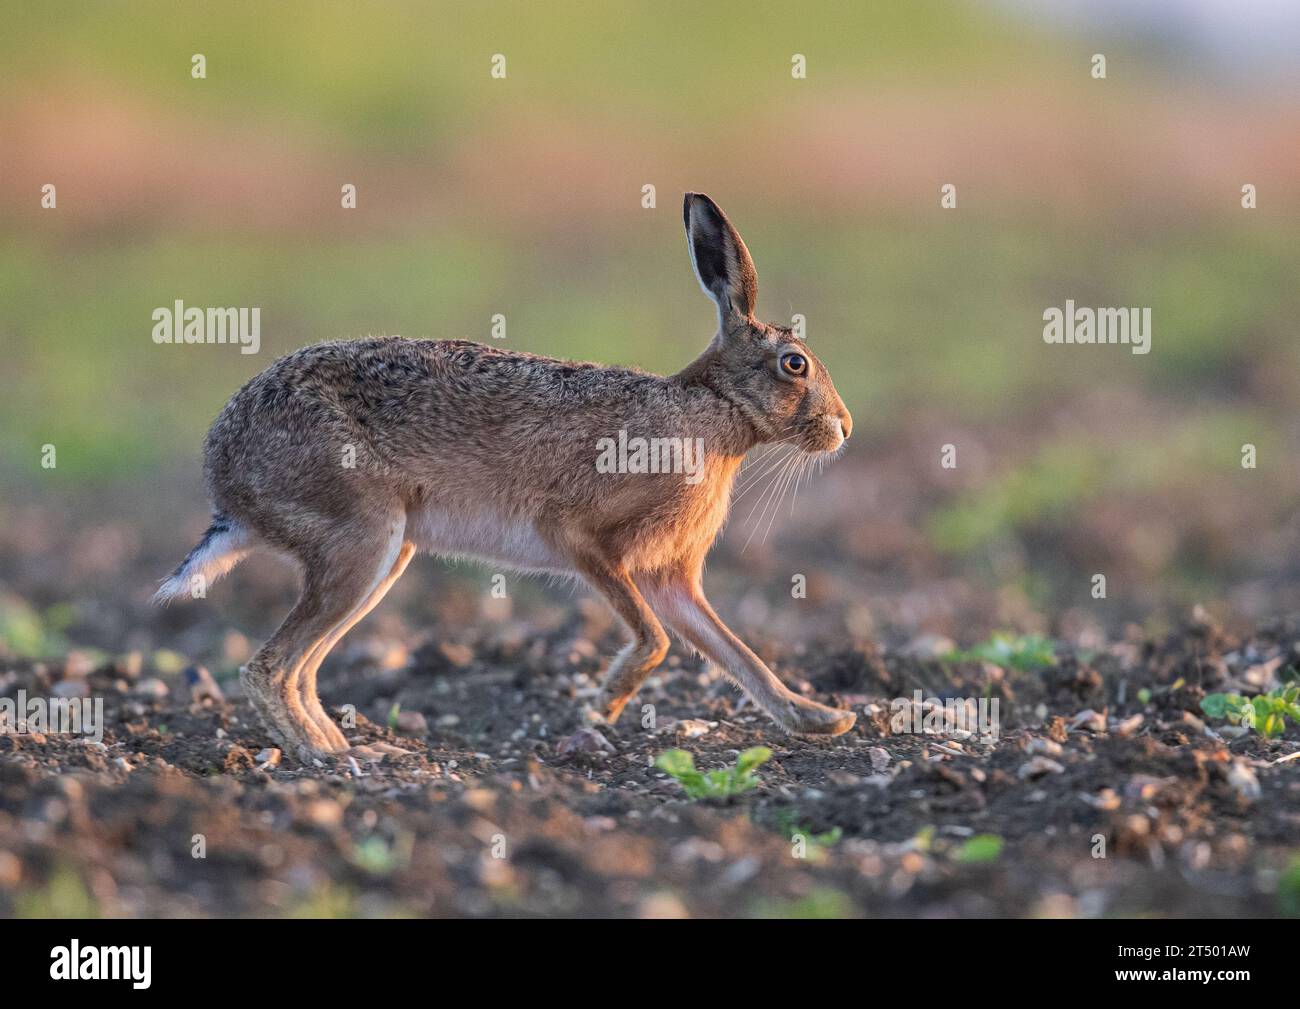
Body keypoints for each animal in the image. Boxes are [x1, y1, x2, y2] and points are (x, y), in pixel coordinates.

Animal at [154, 193, 856, 762]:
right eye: (794, 364)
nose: (845, 428)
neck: (715, 410)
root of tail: (226, 480)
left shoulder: (672, 577)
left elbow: (737, 654)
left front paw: (823, 720)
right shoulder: (579, 535)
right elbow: (655, 639)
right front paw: (604, 703)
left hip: (383, 555)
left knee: (299, 667)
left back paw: (354, 747)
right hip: (359, 537)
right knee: (268, 669)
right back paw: (327, 758)